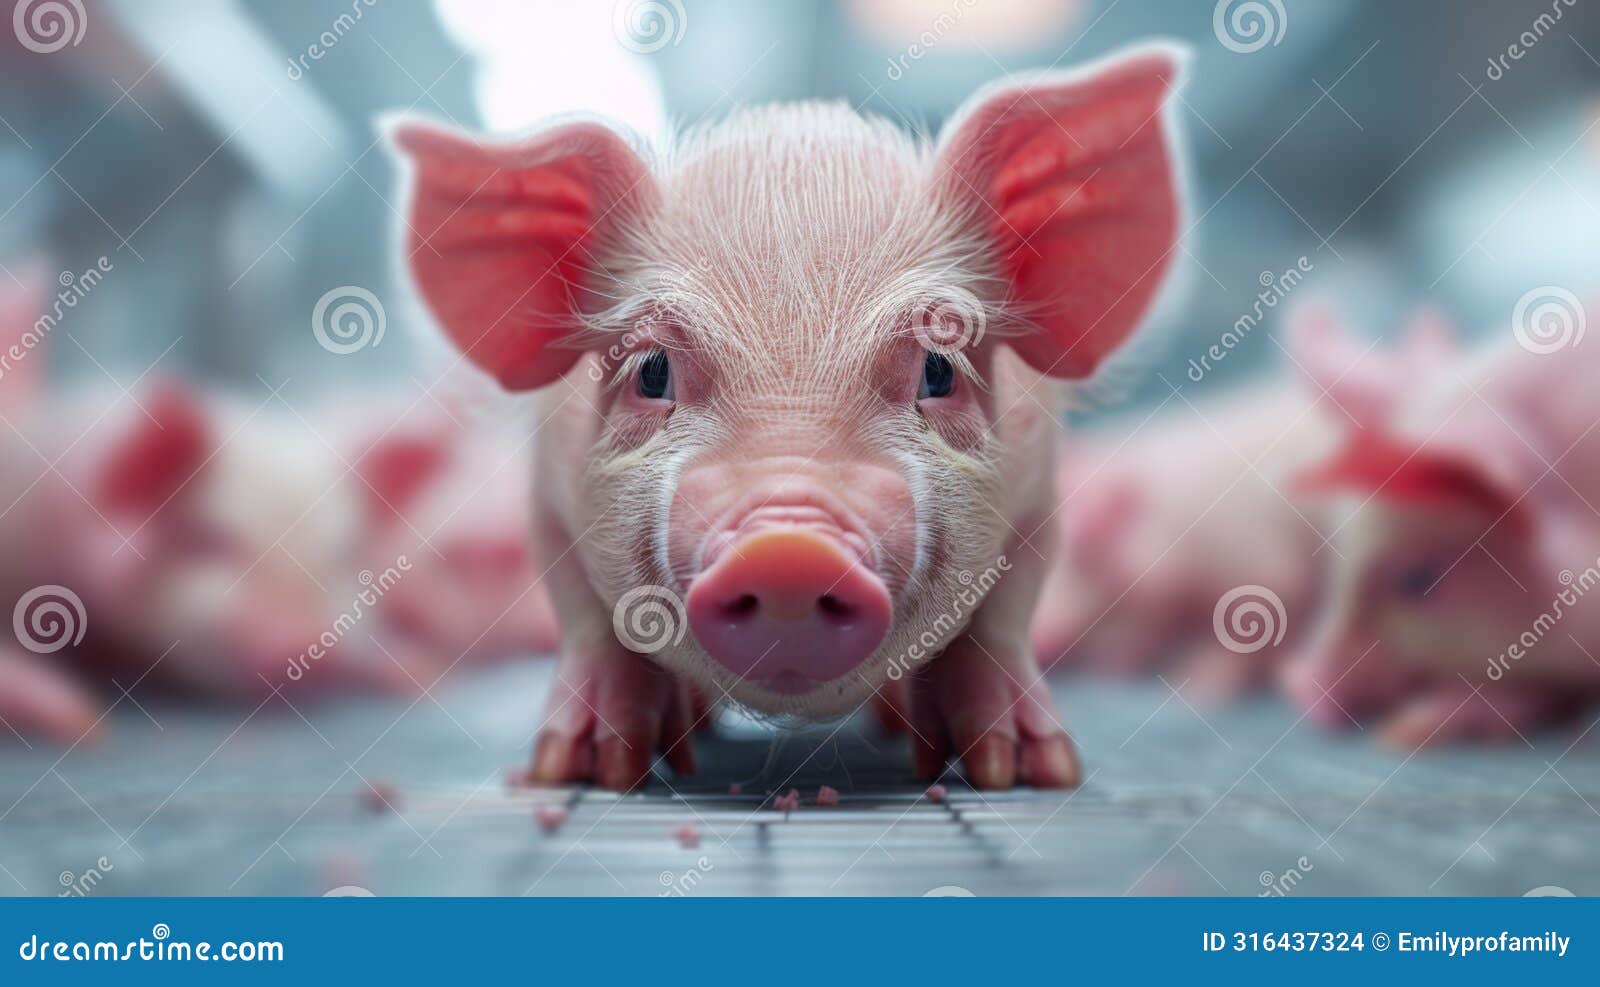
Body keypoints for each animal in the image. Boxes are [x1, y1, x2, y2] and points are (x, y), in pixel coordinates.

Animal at [392, 44, 1188, 789]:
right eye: (652, 370)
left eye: (938, 369)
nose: (788, 548)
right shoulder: (546, 488)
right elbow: (586, 618)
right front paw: (582, 771)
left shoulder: (1040, 484)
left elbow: (1004, 616)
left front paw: (1027, 771)